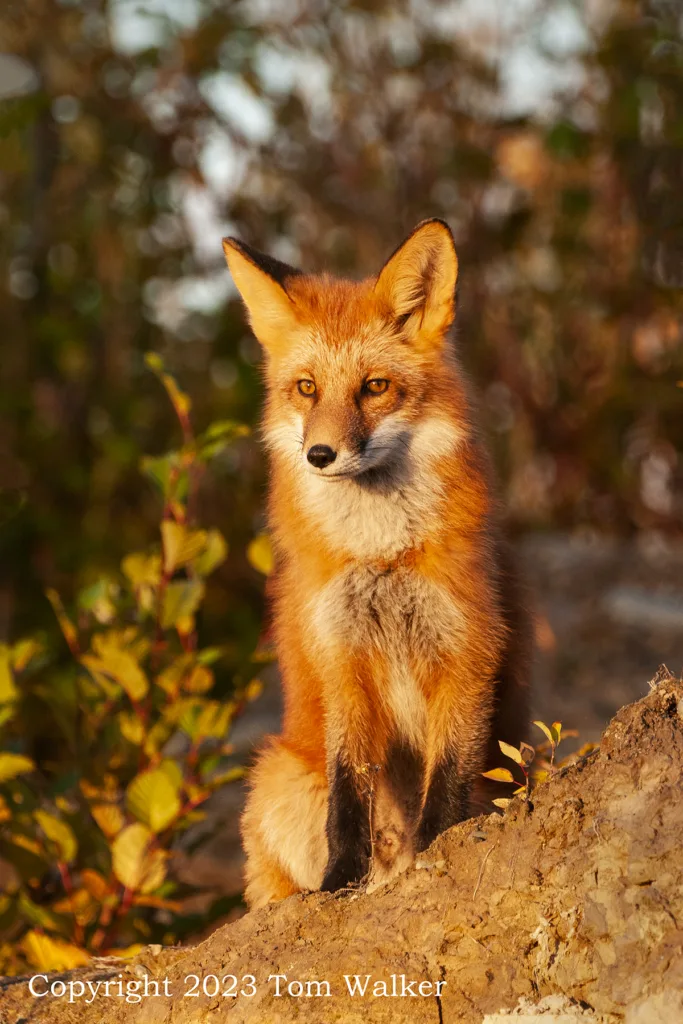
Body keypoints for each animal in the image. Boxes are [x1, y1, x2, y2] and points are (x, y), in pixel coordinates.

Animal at [222, 219, 532, 909]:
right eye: (307, 388)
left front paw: (436, 850)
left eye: (375, 387)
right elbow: (349, 795)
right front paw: (341, 883)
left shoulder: (468, 647)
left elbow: (447, 779)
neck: (380, 556)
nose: (320, 454)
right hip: (277, 777)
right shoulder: (341, 659)